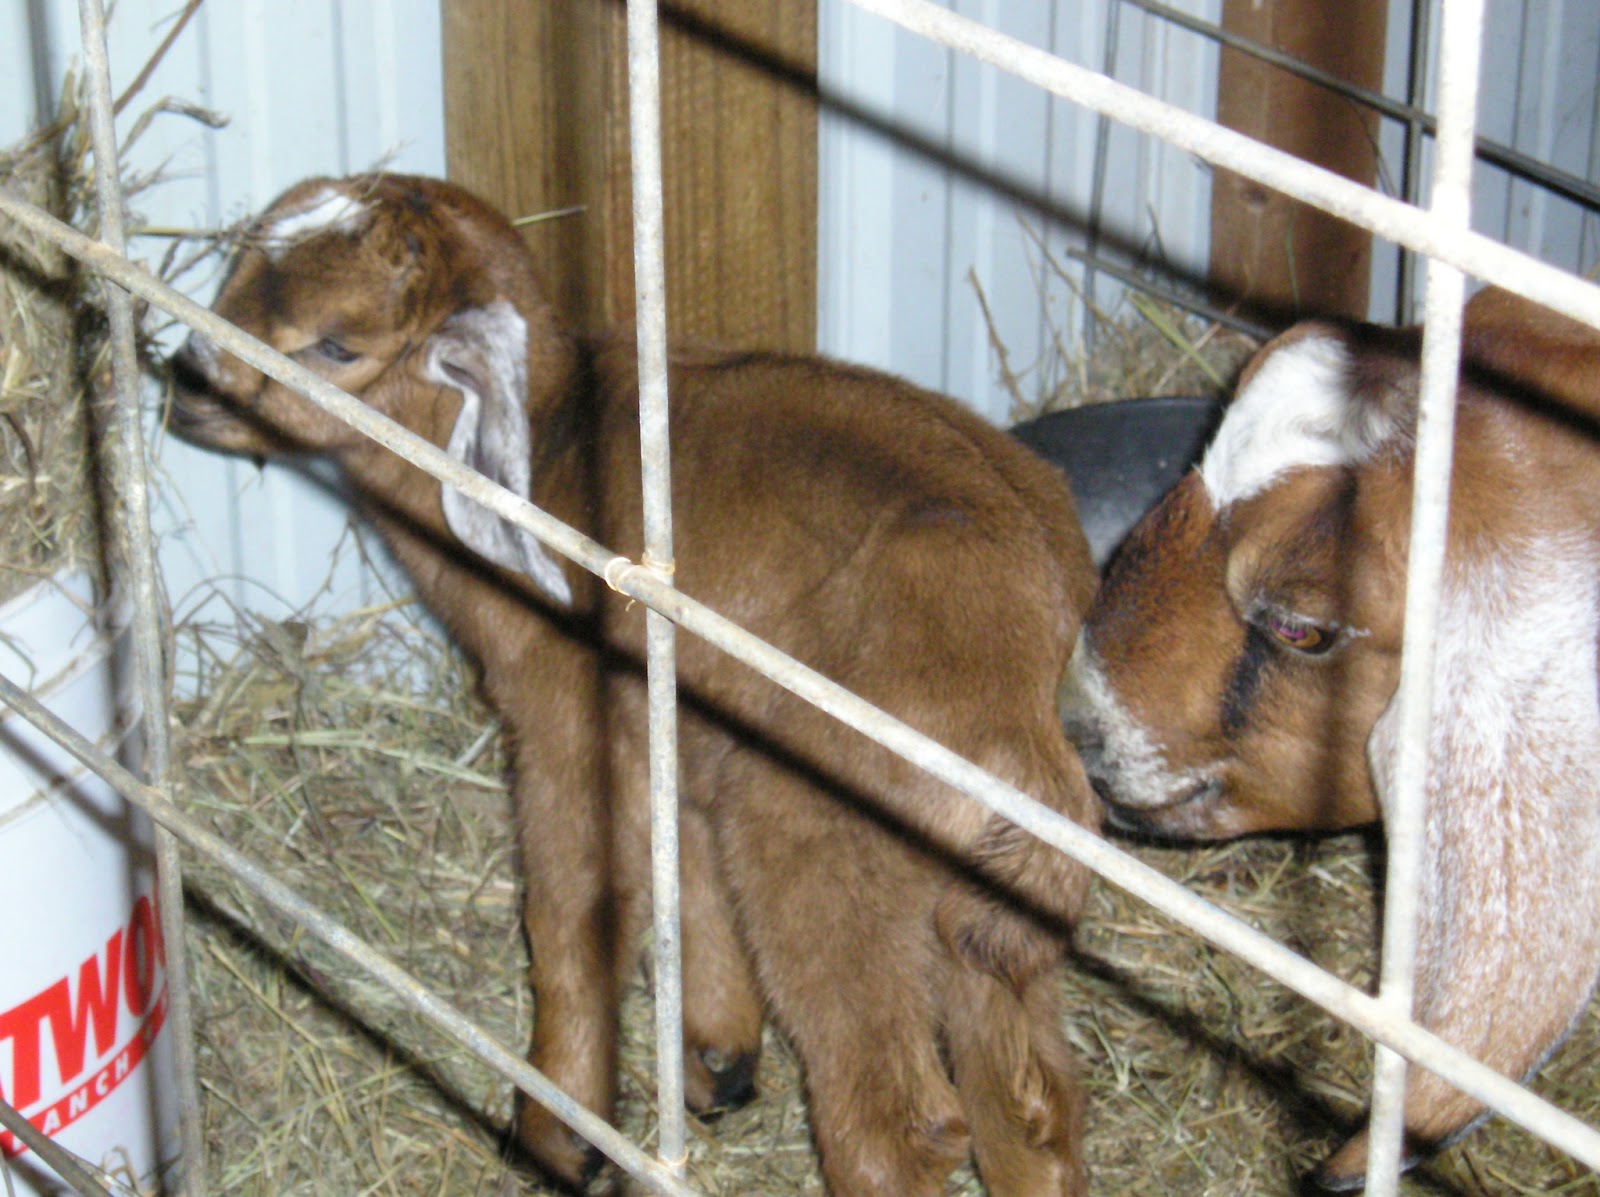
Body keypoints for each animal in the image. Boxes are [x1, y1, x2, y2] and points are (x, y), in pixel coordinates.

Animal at [168, 173, 1101, 1197]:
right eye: (234, 273)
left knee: (900, 1121)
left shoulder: (565, 720)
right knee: (1030, 1095)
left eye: (336, 344)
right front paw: (717, 1055)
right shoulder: (671, 728)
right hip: (977, 902)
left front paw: (559, 1129)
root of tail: (1023, 680)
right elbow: (684, 871)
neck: (551, 449)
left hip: (820, 833)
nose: (183, 383)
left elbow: (572, 917)